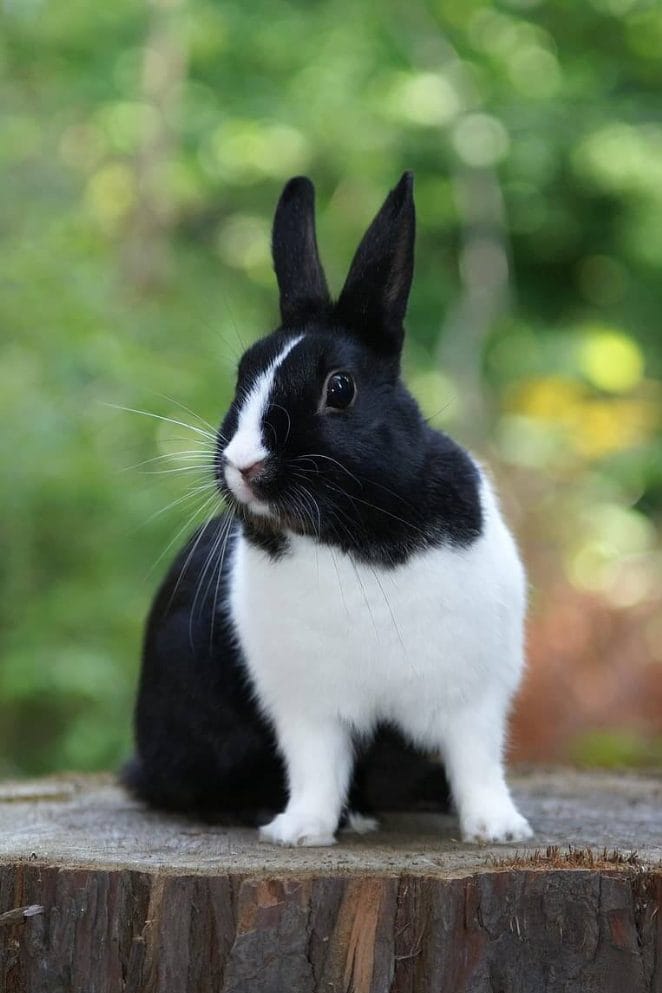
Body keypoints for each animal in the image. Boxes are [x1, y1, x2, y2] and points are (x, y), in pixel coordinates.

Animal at [123, 172, 532, 847]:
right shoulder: (307, 708)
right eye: (241, 377)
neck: (354, 535)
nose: (242, 463)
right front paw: (299, 831)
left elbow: (477, 764)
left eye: (338, 389)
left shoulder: (474, 696)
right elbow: (317, 768)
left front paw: (499, 829)